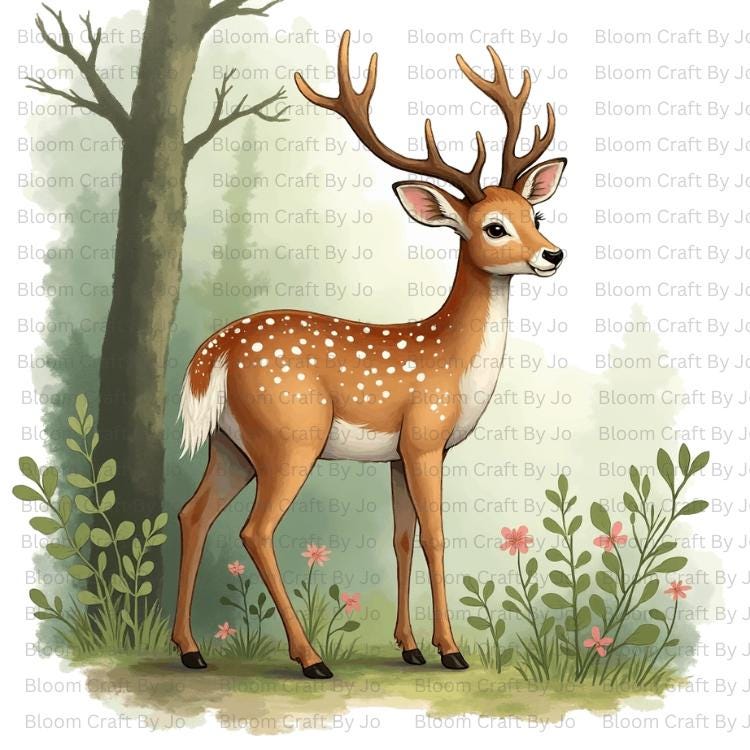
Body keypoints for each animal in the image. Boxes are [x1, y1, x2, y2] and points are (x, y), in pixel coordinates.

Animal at [172, 30, 567, 679]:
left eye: (536, 213)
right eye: (494, 227)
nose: (553, 254)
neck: (453, 363)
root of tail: (214, 353)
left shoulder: (398, 455)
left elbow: (401, 538)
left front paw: (409, 647)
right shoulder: (427, 437)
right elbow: (435, 536)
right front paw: (451, 650)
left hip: (231, 444)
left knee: (192, 513)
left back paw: (190, 650)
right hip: (291, 435)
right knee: (255, 530)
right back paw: (310, 659)